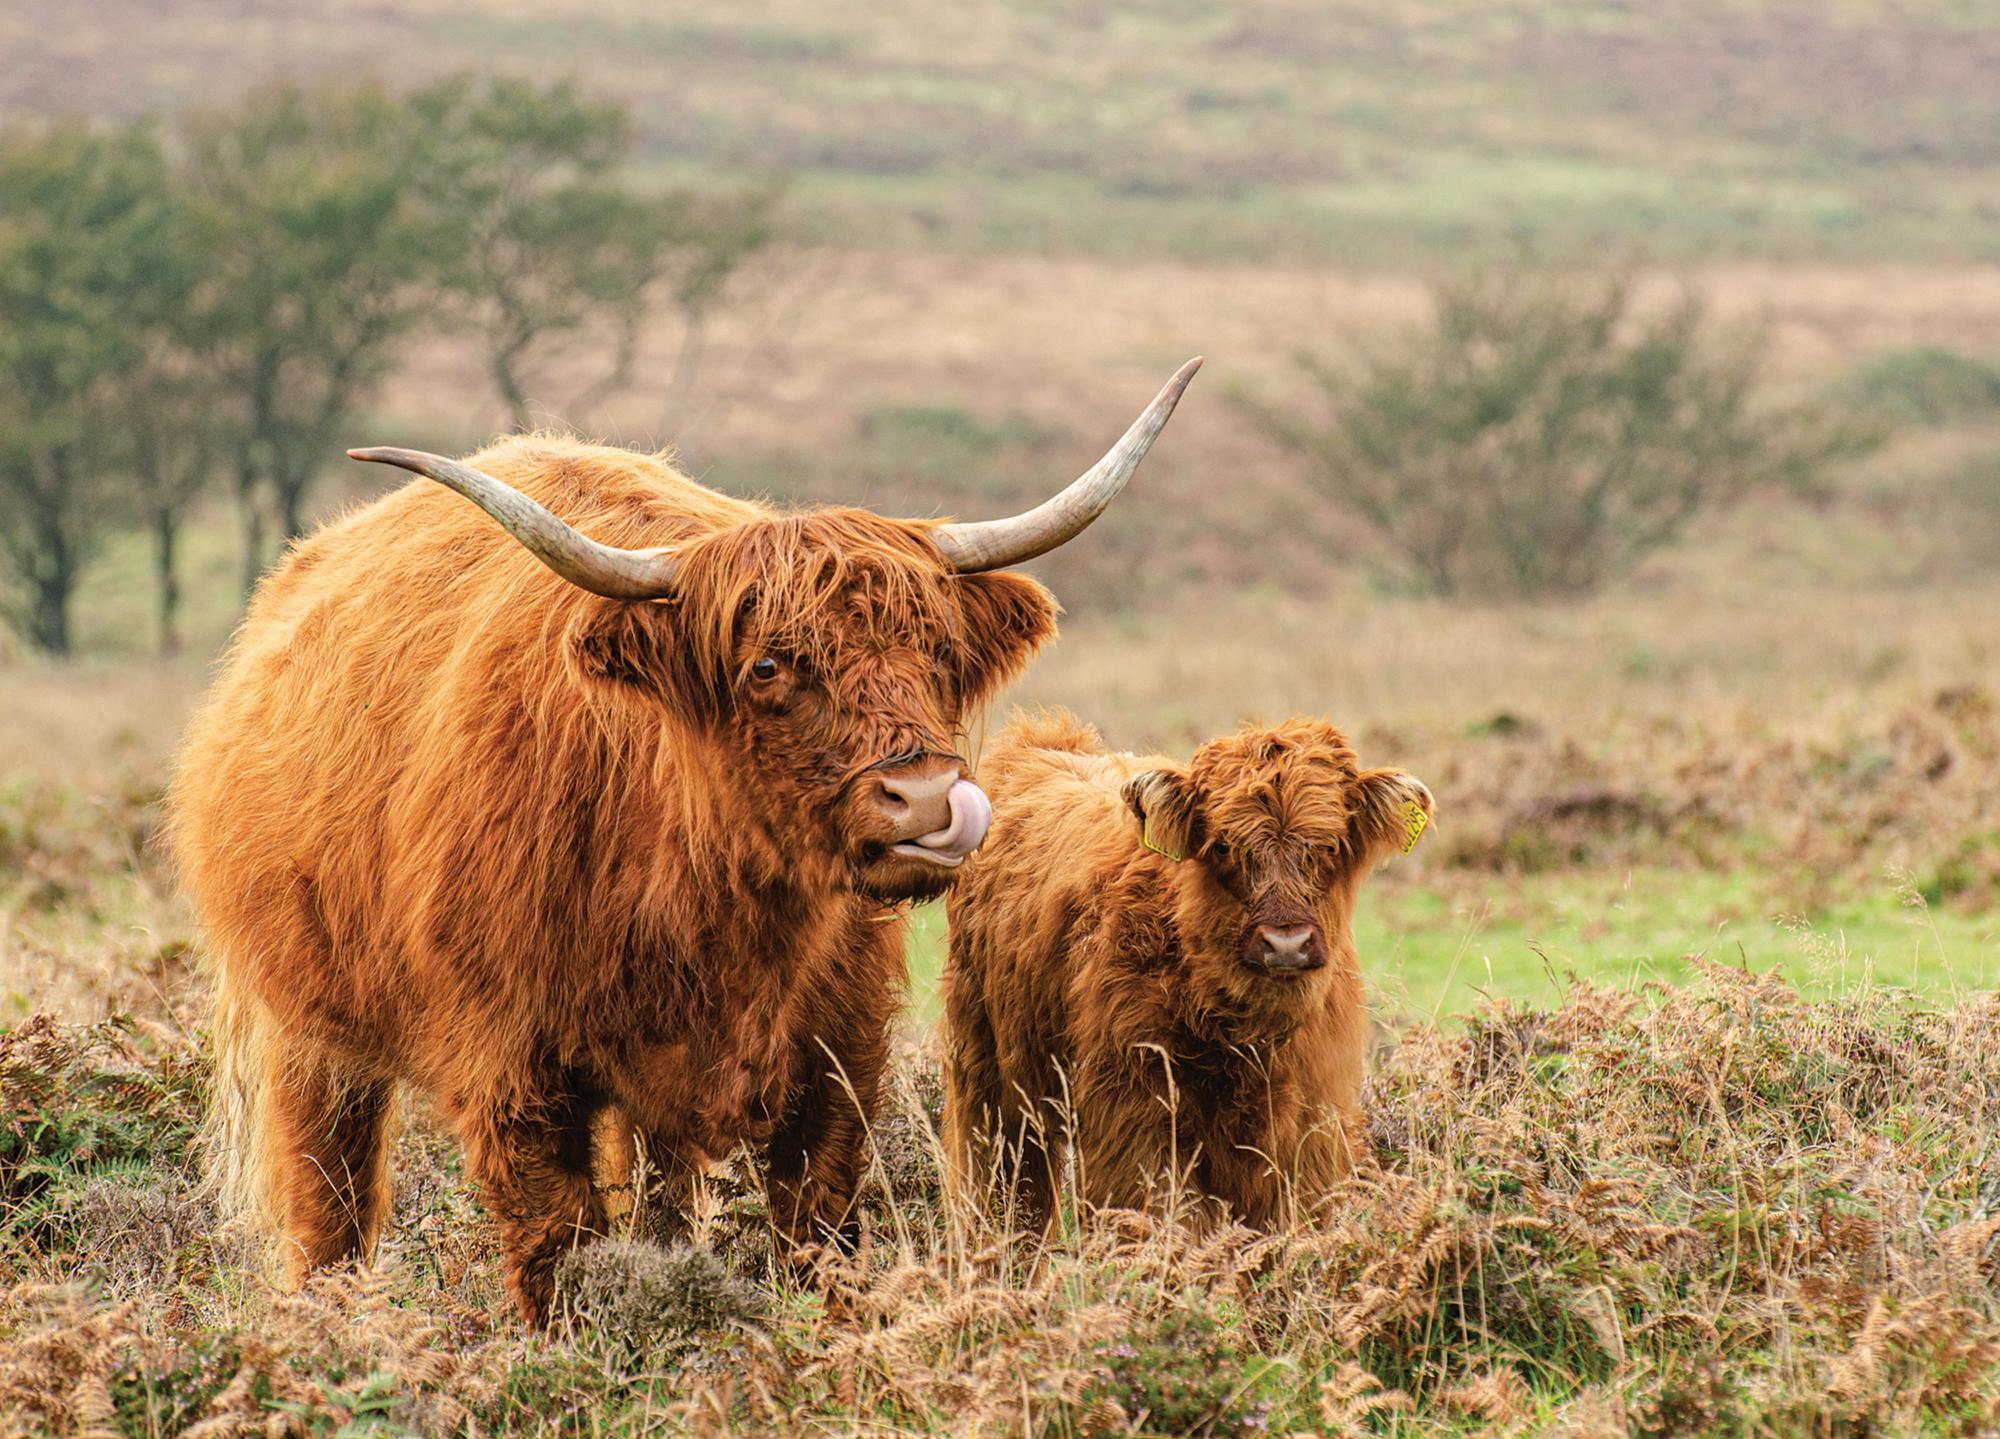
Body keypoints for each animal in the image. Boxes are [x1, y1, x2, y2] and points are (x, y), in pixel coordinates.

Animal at [167, 360, 1199, 1325]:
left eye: (940, 652)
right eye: (770, 665)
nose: (928, 799)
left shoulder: (839, 1050)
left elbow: (813, 1228)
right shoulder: (510, 1070)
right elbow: (559, 1242)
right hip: (310, 1032)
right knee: (329, 1196)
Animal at [940, 708, 1431, 1231]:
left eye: (1331, 845)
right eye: (1223, 846)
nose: (1286, 942)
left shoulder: (1311, 1128)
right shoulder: (1135, 1123)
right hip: (989, 1074)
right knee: (1005, 1181)